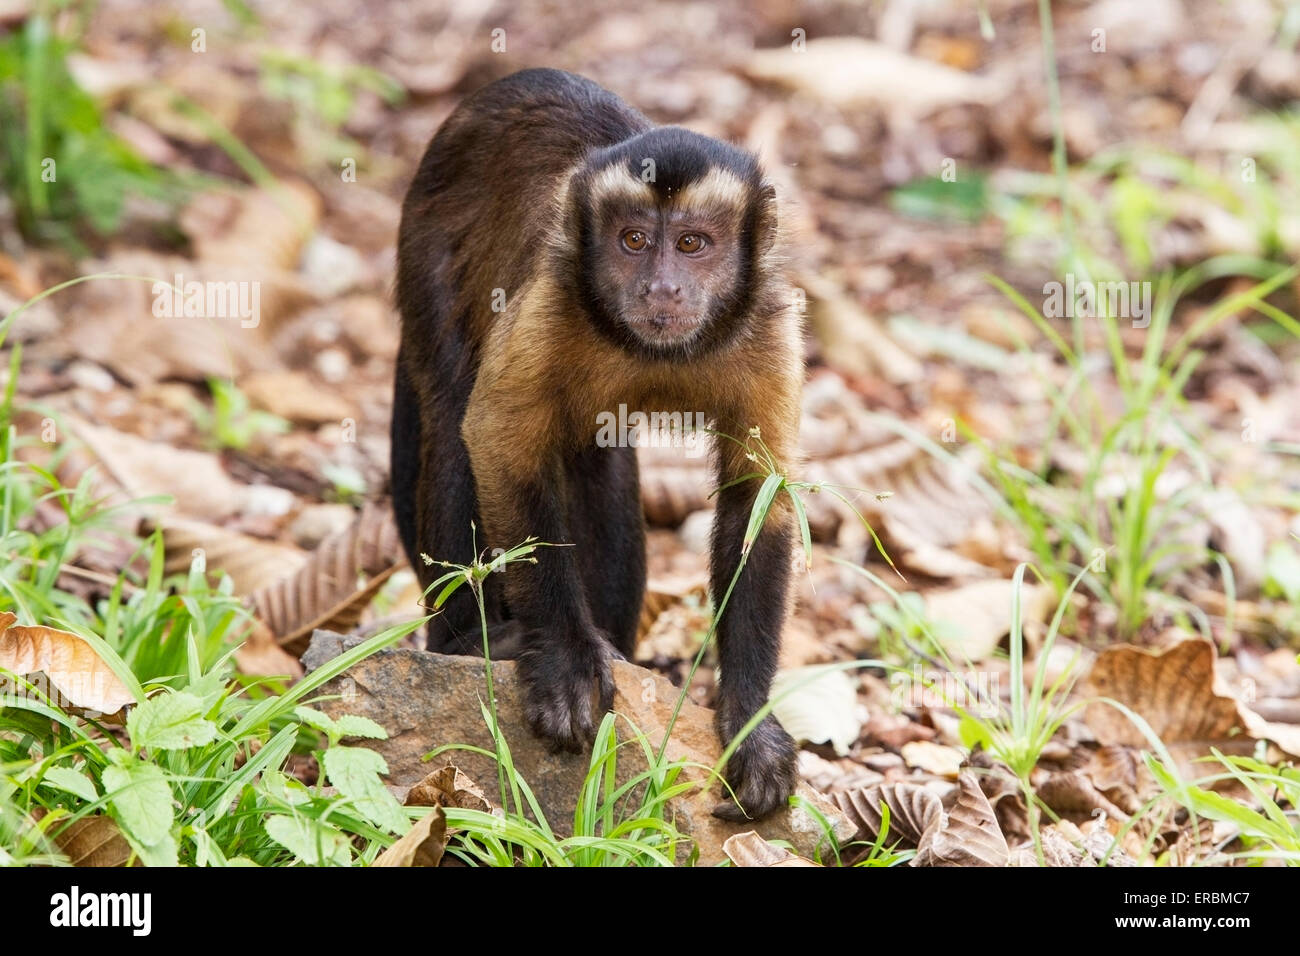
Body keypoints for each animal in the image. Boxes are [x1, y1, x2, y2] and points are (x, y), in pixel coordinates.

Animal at [392, 68, 803, 821]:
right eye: (634, 240)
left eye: (693, 244)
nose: (662, 286)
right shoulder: (549, 299)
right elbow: (496, 443)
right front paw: (564, 662)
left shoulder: (769, 323)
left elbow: (758, 499)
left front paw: (749, 720)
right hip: (423, 250)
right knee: (452, 409)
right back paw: (466, 642)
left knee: (600, 462)